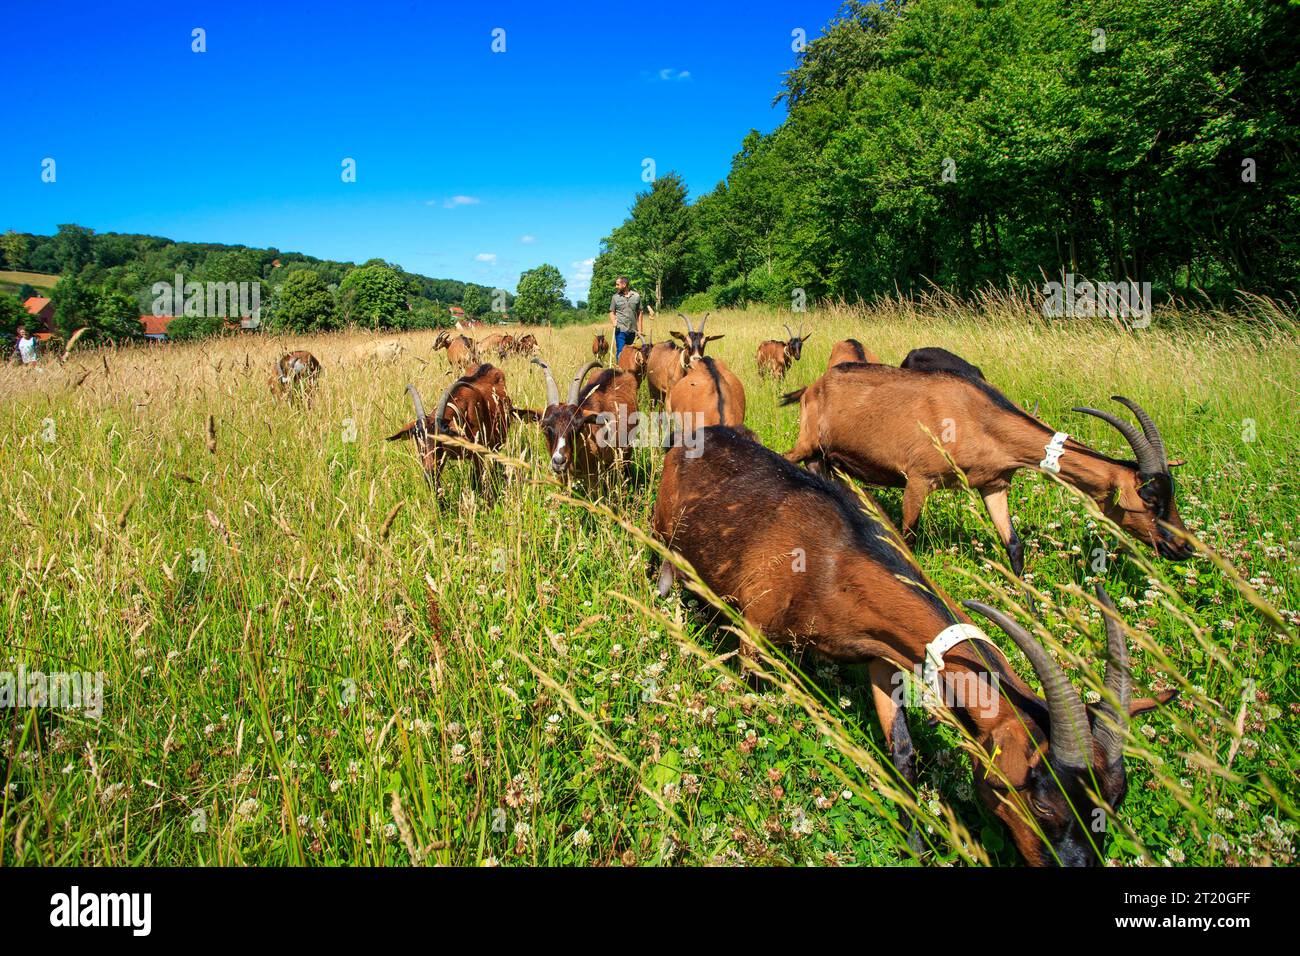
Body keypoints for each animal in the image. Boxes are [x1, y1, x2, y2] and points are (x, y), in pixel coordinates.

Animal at [652, 425, 1174, 865]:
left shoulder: (881, 653)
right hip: (664, 536)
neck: (831, 562)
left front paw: (916, 843)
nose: (1080, 864)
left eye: (1116, 800)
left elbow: (902, 750)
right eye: (1043, 804)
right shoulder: (755, 631)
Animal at [782, 364, 1194, 576]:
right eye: (1149, 500)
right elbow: (909, 538)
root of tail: (812, 386)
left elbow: (1014, 545)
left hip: (829, 458)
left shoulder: (994, 485)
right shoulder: (919, 479)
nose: (1184, 547)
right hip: (807, 442)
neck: (979, 417)